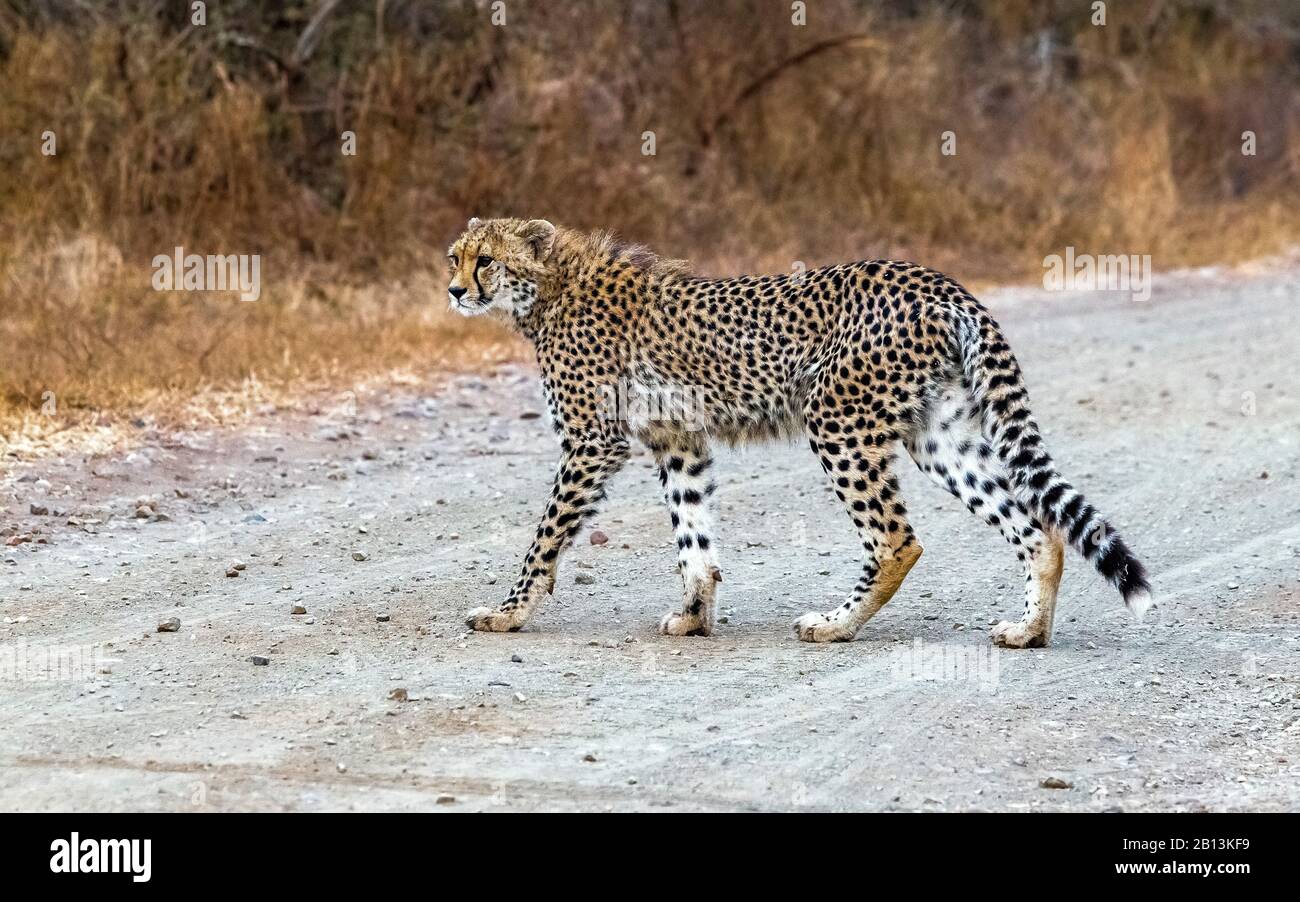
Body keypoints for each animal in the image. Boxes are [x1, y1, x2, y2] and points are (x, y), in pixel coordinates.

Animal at [446, 216, 1152, 647]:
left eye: (487, 261)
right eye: (455, 257)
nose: (453, 290)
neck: (548, 287)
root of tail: (936, 280)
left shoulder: (594, 441)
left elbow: (544, 539)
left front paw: (508, 612)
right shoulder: (680, 441)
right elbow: (693, 537)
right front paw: (696, 617)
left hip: (836, 421)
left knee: (897, 541)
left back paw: (836, 625)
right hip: (936, 436)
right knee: (1036, 527)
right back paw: (1029, 631)